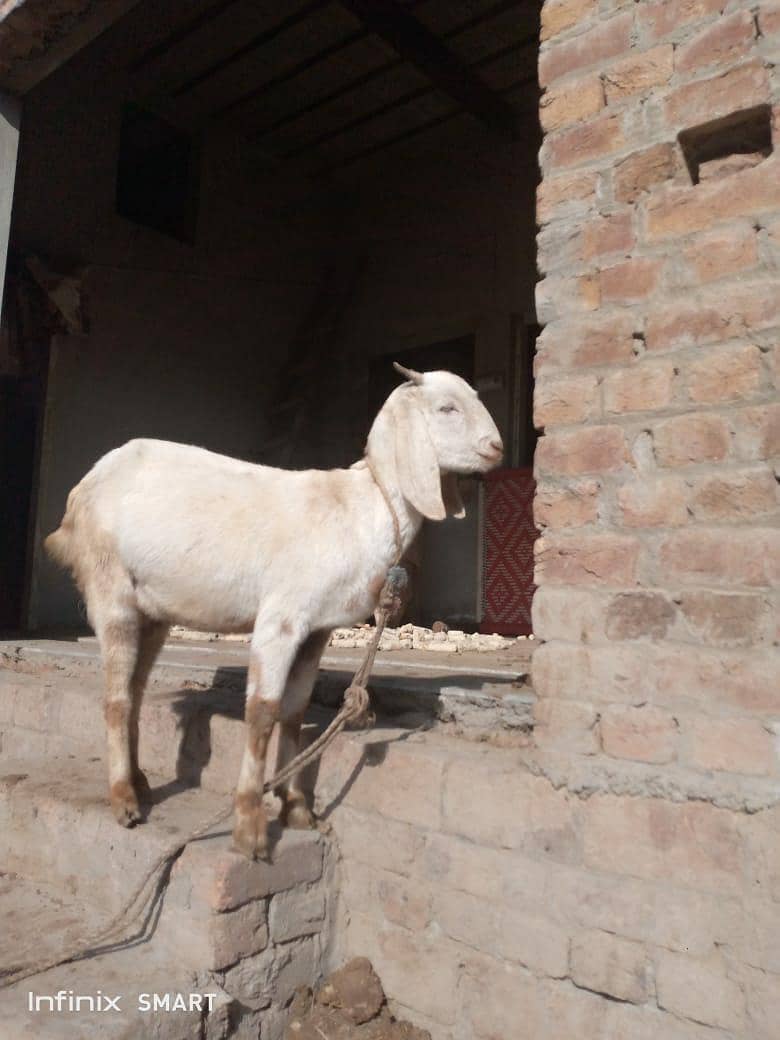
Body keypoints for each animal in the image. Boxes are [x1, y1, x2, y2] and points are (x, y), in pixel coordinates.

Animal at [45, 364, 503, 859]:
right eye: (446, 408)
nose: (497, 448)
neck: (360, 507)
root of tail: (81, 494)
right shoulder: (280, 620)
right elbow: (262, 713)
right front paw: (250, 826)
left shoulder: (316, 630)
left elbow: (294, 713)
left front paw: (296, 808)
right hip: (110, 590)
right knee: (115, 699)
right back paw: (124, 800)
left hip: (152, 612)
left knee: (135, 690)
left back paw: (141, 782)